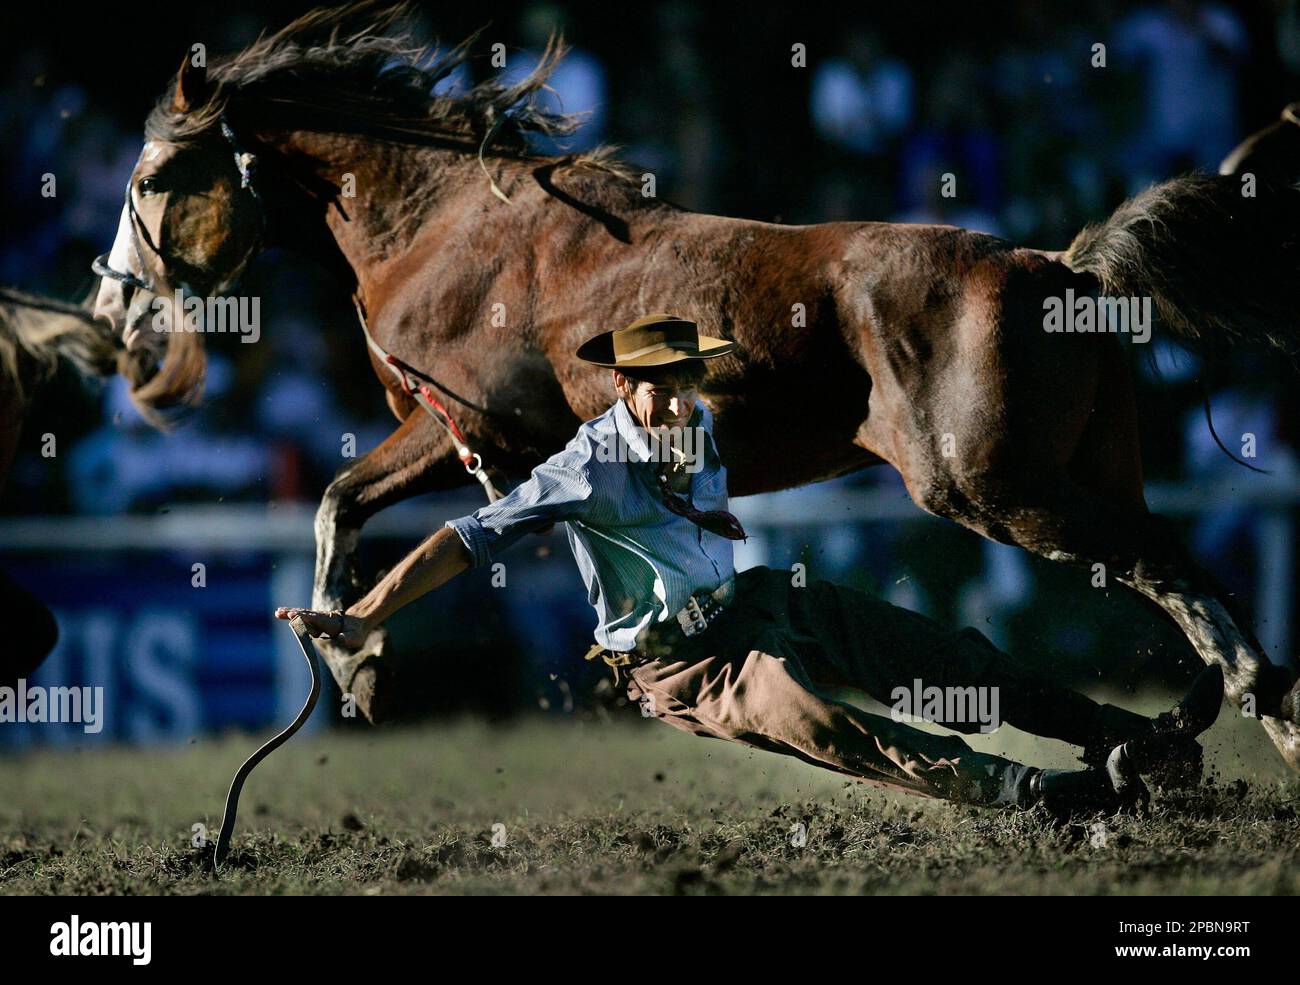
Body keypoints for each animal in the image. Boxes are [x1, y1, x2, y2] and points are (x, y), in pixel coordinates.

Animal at [89, 4, 1300, 768]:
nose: (113, 313)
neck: (440, 226)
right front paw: (356, 659)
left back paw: (1254, 711)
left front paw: (353, 659)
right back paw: (1182, 732)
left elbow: (348, 504)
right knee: (1168, 566)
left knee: (1163, 567)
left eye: (154, 176)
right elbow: (345, 504)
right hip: (1089, 467)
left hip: (993, 488)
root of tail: (1059, 264)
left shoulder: (482, 434)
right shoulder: (465, 445)